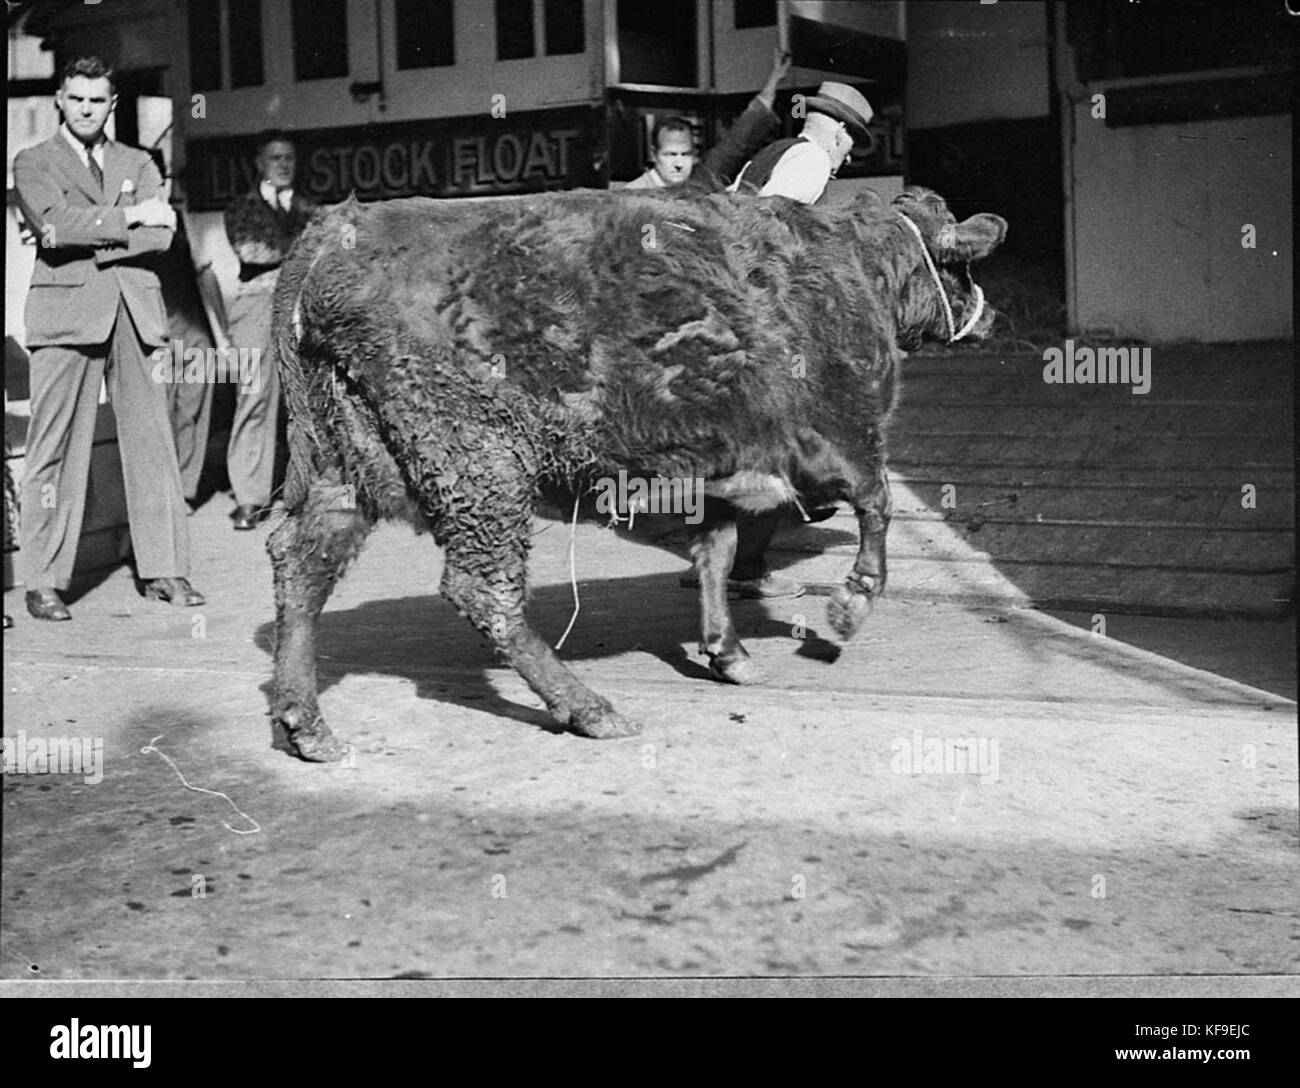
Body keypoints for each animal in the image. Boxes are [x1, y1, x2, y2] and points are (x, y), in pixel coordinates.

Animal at [266, 185, 1007, 760]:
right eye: (961, 271)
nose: (994, 315)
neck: (857, 269)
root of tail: (338, 230)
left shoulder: (724, 464)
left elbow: (716, 554)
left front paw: (727, 651)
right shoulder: (840, 439)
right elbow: (878, 505)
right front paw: (850, 604)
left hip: (349, 461)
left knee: (301, 564)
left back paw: (305, 724)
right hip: (478, 465)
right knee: (482, 591)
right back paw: (589, 708)